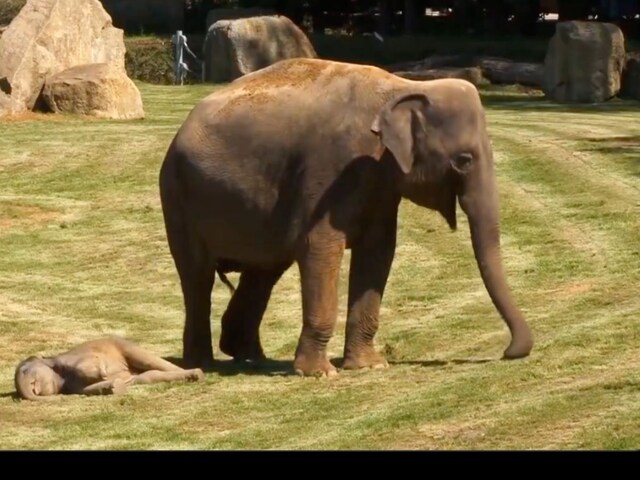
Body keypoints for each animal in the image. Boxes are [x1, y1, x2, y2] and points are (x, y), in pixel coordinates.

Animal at [14, 336, 204, 400]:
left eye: (25, 370)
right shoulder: (72, 387)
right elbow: (88, 389)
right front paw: (113, 386)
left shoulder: (71, 359)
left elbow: (91, 363)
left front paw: (104, 374)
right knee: (150, 376)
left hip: (122, 345)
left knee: (150, 362)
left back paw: (197, 374)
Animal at [159, 58, 534, 376]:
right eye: (464, 161)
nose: (509, 352)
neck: (400, 87)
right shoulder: (331, 169)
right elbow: (319, 247)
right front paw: (320, 373)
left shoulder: (379, 182)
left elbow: (378, 252)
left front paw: (369, 366)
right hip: (177, 196)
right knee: (198, 276)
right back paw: (203, 363)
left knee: (263, 271)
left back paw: (250, 358)